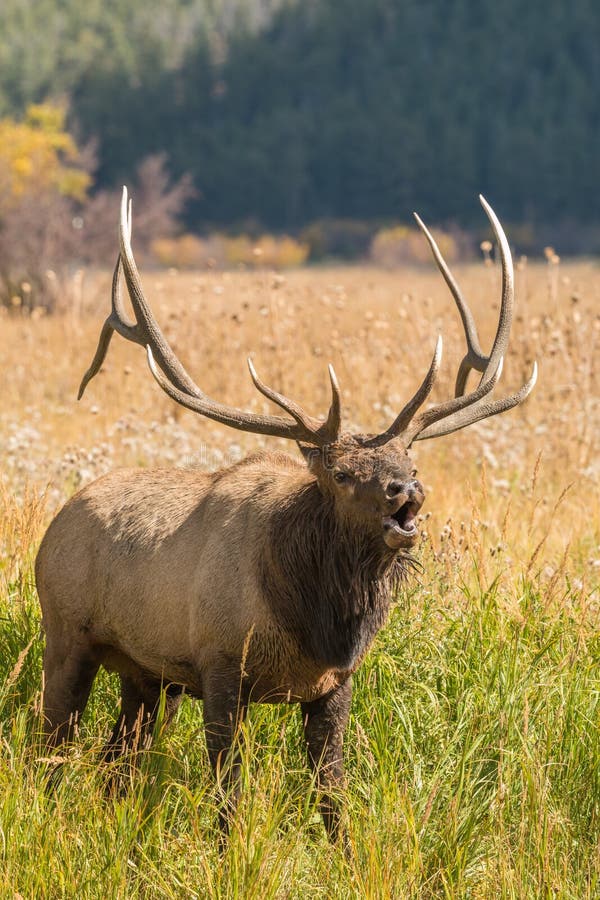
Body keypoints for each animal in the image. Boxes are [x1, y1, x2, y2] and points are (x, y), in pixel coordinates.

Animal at [35, 189, 536, 847]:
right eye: (342, 474)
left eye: (411, 461)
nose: (406, 491)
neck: (311, 621)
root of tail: (52, 528)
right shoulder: (220, 662)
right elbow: (227, 789)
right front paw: (227, 855)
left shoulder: (334, 683)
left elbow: (332, 791)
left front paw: (344, 855)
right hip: (67, 634)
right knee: (52, 746)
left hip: (146, 675)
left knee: (117, 761)